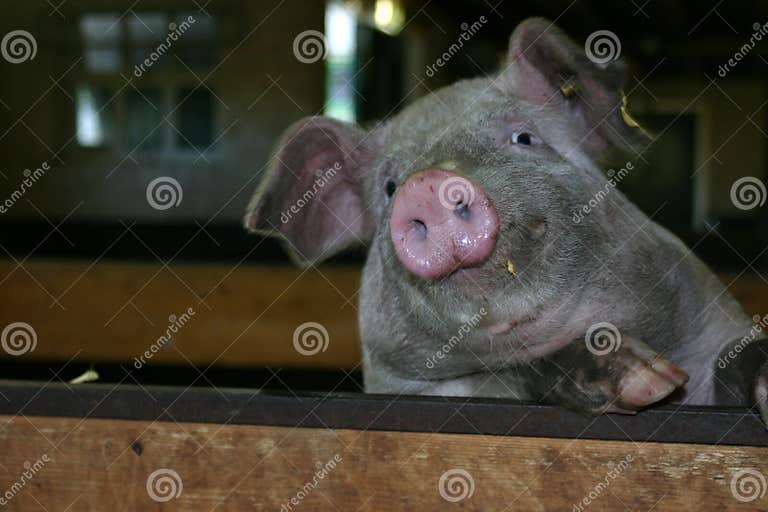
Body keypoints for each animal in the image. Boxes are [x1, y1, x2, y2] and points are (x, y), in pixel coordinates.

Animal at [245, 18, 768, 424]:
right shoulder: (411, 387)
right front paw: (647, 378)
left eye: (523, 138)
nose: (427, 184)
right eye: (389, 187)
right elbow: (510, 374)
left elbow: (736, 356)